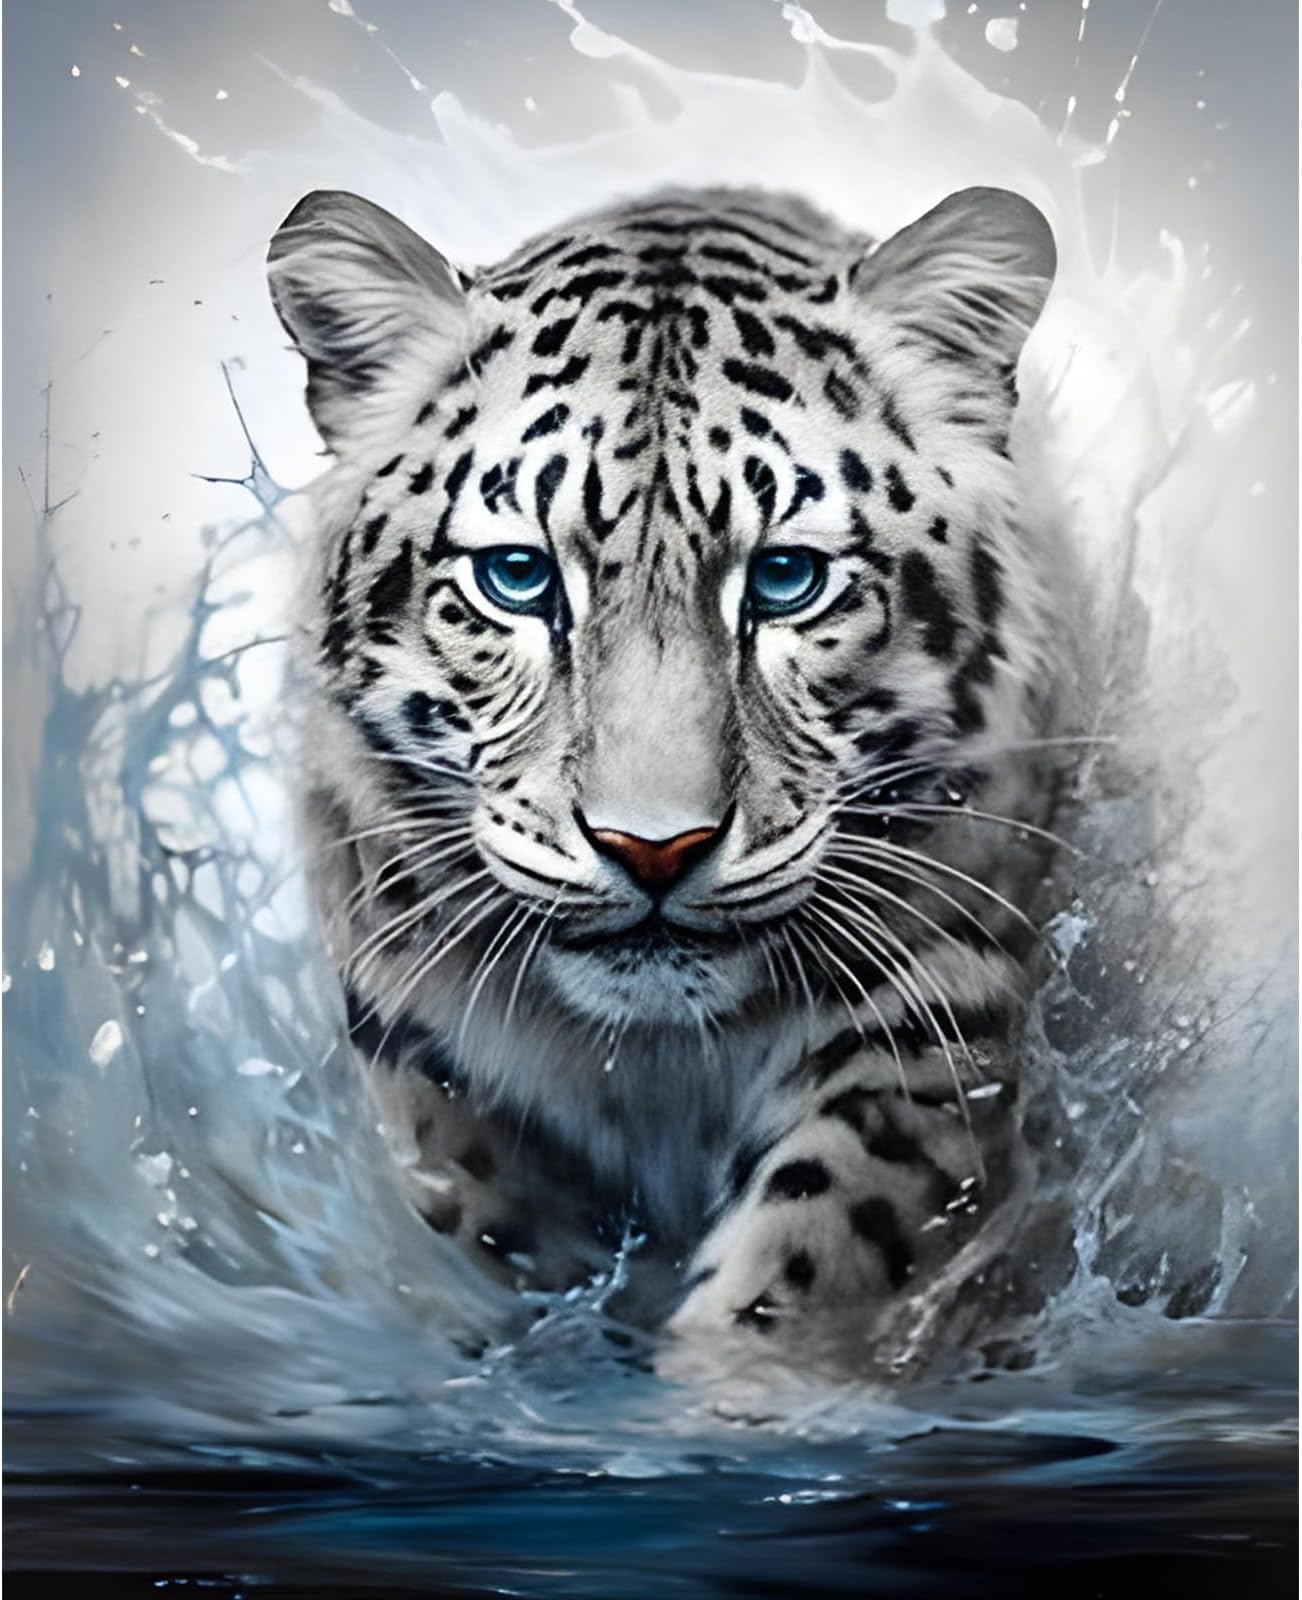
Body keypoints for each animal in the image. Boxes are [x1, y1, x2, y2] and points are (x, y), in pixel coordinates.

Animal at [266, 179, 1060, 1362]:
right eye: (517, 575)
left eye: (786, 579)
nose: (653, 849)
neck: (657, 1069)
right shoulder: (418, 1039)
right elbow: (499, 1230)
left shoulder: (937, 1001)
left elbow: (826, 1233)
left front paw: (738, 1382)